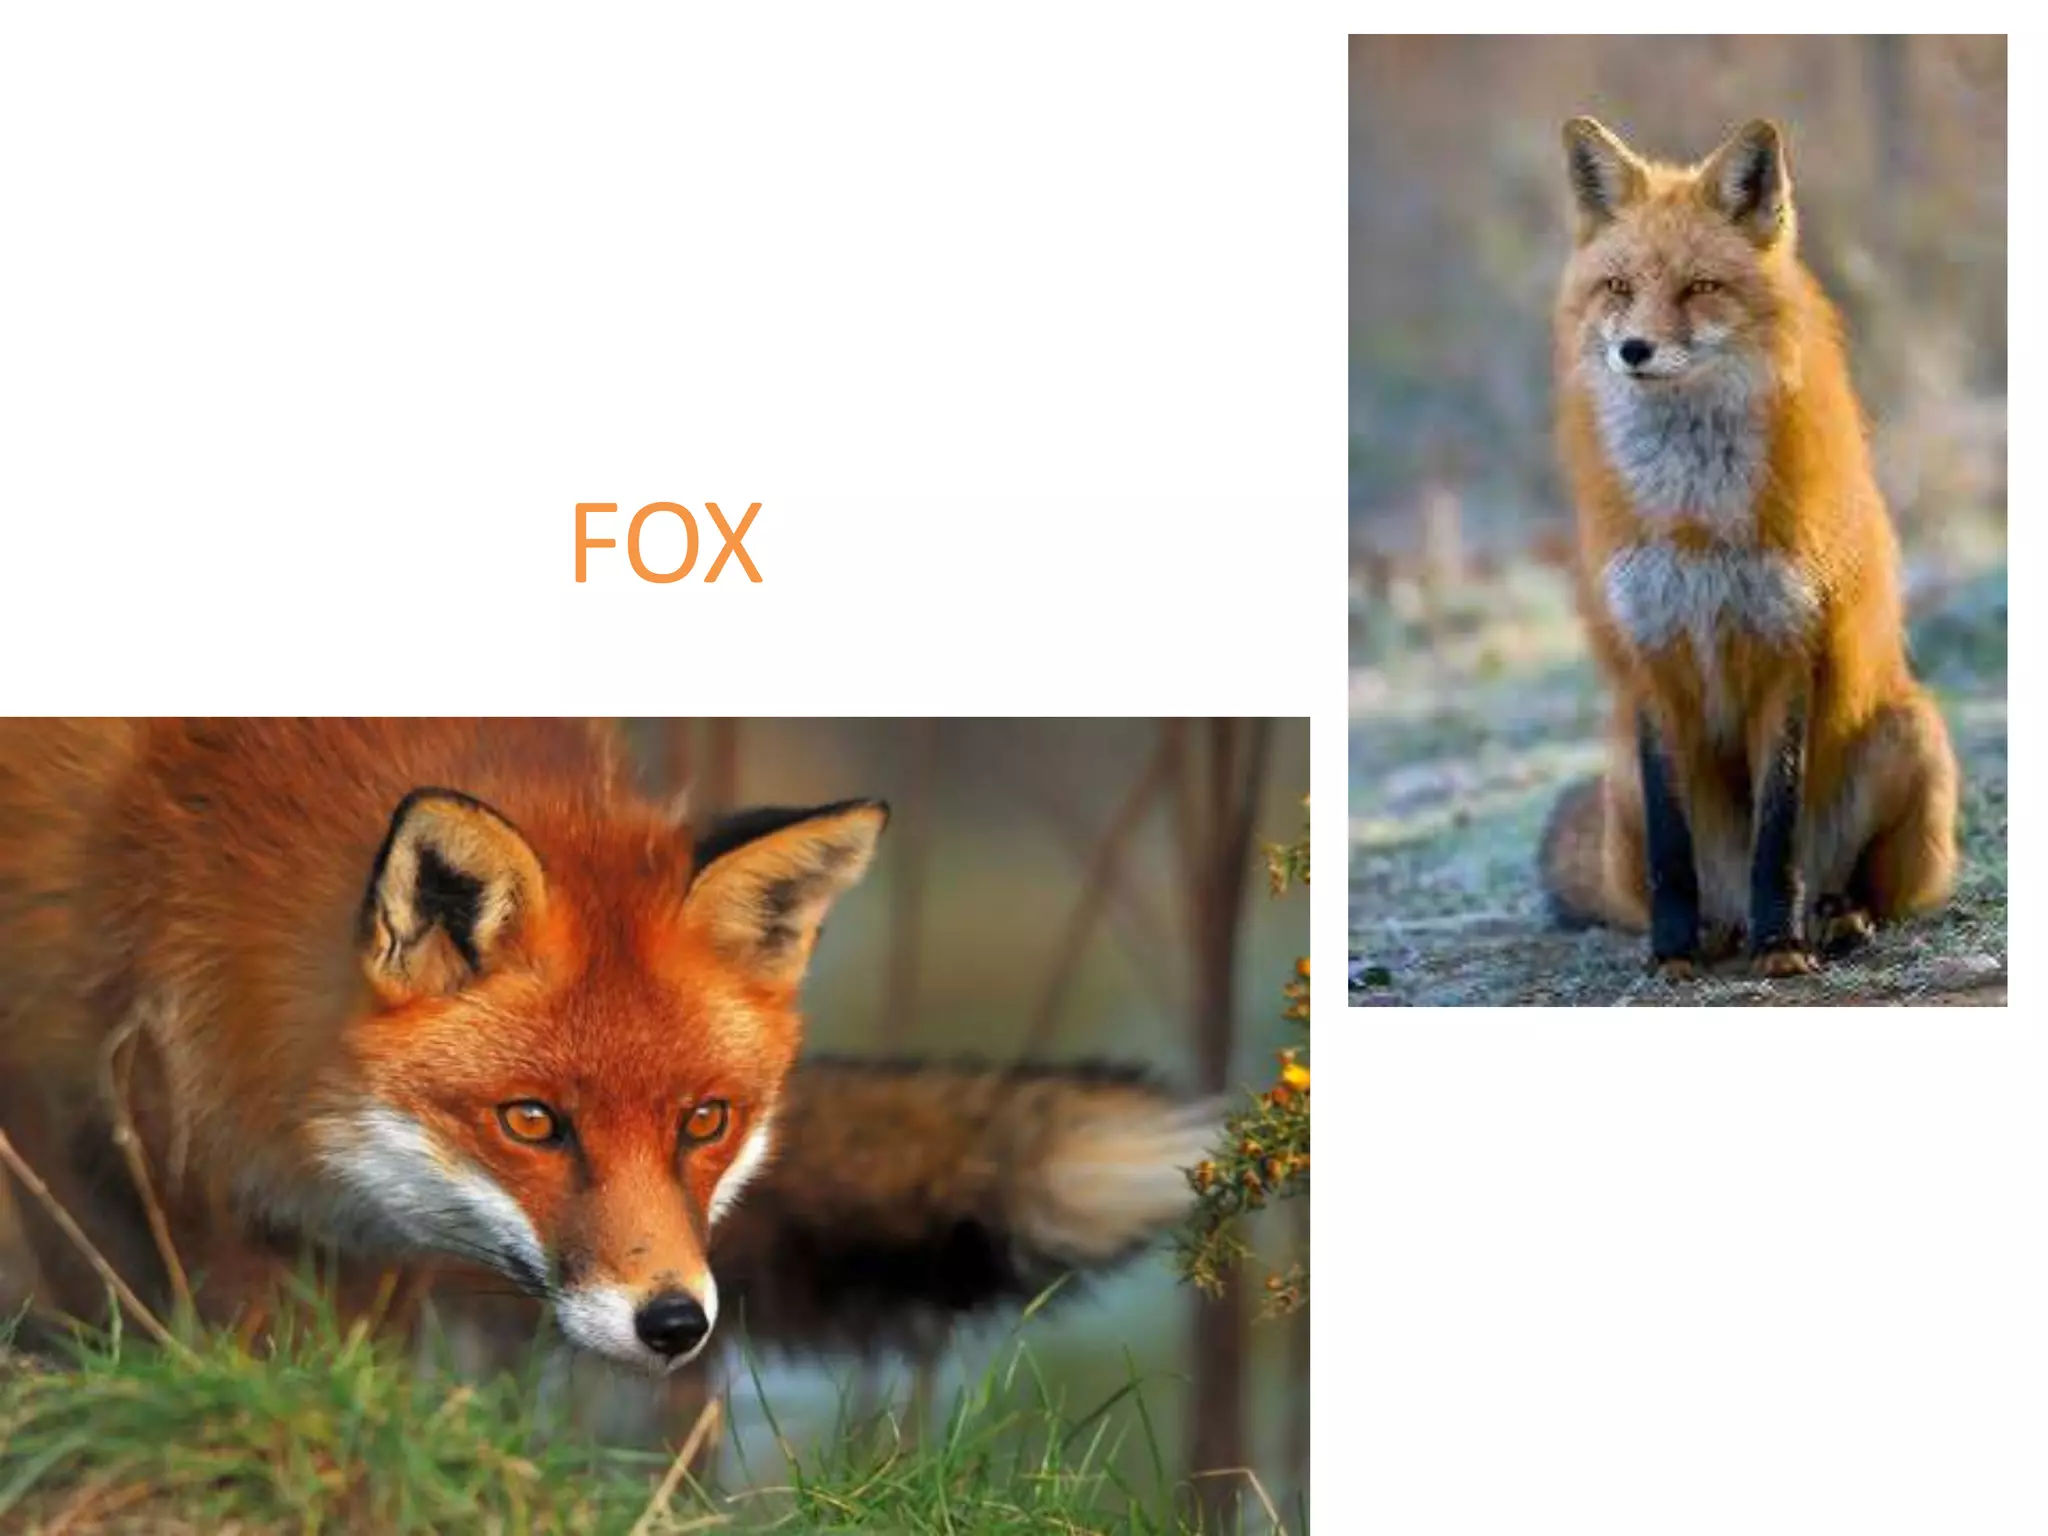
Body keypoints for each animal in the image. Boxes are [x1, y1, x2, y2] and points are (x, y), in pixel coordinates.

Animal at [1538, 117, 1959, 977]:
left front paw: (1782, 946)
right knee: (1692, 883)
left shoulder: (1788, 647)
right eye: (1618, 288)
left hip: (1912, 732)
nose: (1634, 349)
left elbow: (1778, 835)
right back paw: (1717, 931)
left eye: (1699, 287)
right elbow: (1673, 853)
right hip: (1618, 772)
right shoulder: (1651, 659)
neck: (1695, 518)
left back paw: (1832, 918)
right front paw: (1673, 955)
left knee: (1858, 884)